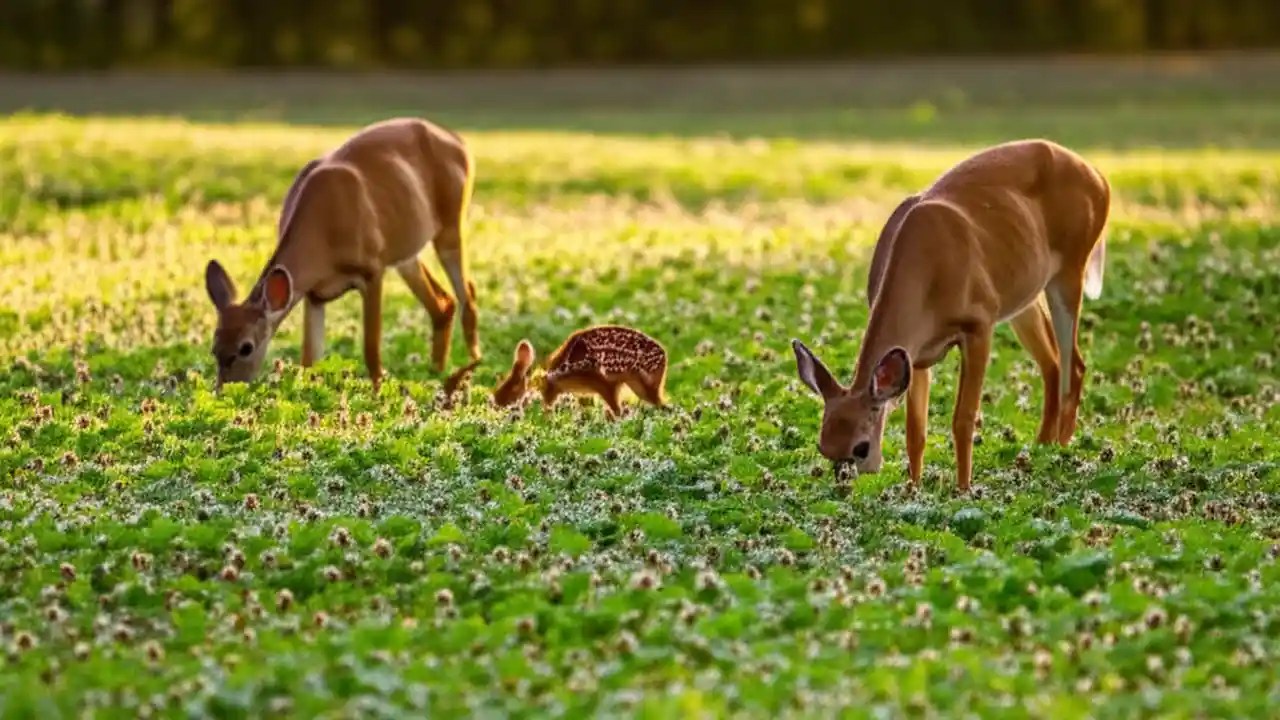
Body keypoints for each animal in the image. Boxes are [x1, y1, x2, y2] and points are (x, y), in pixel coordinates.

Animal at [203, 117, 480, 389]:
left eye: (246, 348)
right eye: (214, 347)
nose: (223, 391)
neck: (324, 236)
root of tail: (459, 141)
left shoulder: (373, 269)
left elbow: (371, 351)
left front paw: (377, 392)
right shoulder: (313, 293)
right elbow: (310, 361)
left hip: (451, 225)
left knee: (467, 296)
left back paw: (469, 370)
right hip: (406, 253)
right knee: (443, 303)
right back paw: (437, 371)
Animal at [792, 139, 1110, 492]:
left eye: (860, 448)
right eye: (822, 445)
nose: (843, 488)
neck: (927, 270)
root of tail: (1099, 177)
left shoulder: (979, 323)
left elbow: (963, 418)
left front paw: (963, 490)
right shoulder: (916, 352)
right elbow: (915, 430)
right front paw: (913, 488)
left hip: (1070, 270)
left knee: (1074, 364)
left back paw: (1062, 450)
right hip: (1023, 294)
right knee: (1051, 362)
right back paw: (1042, 446)